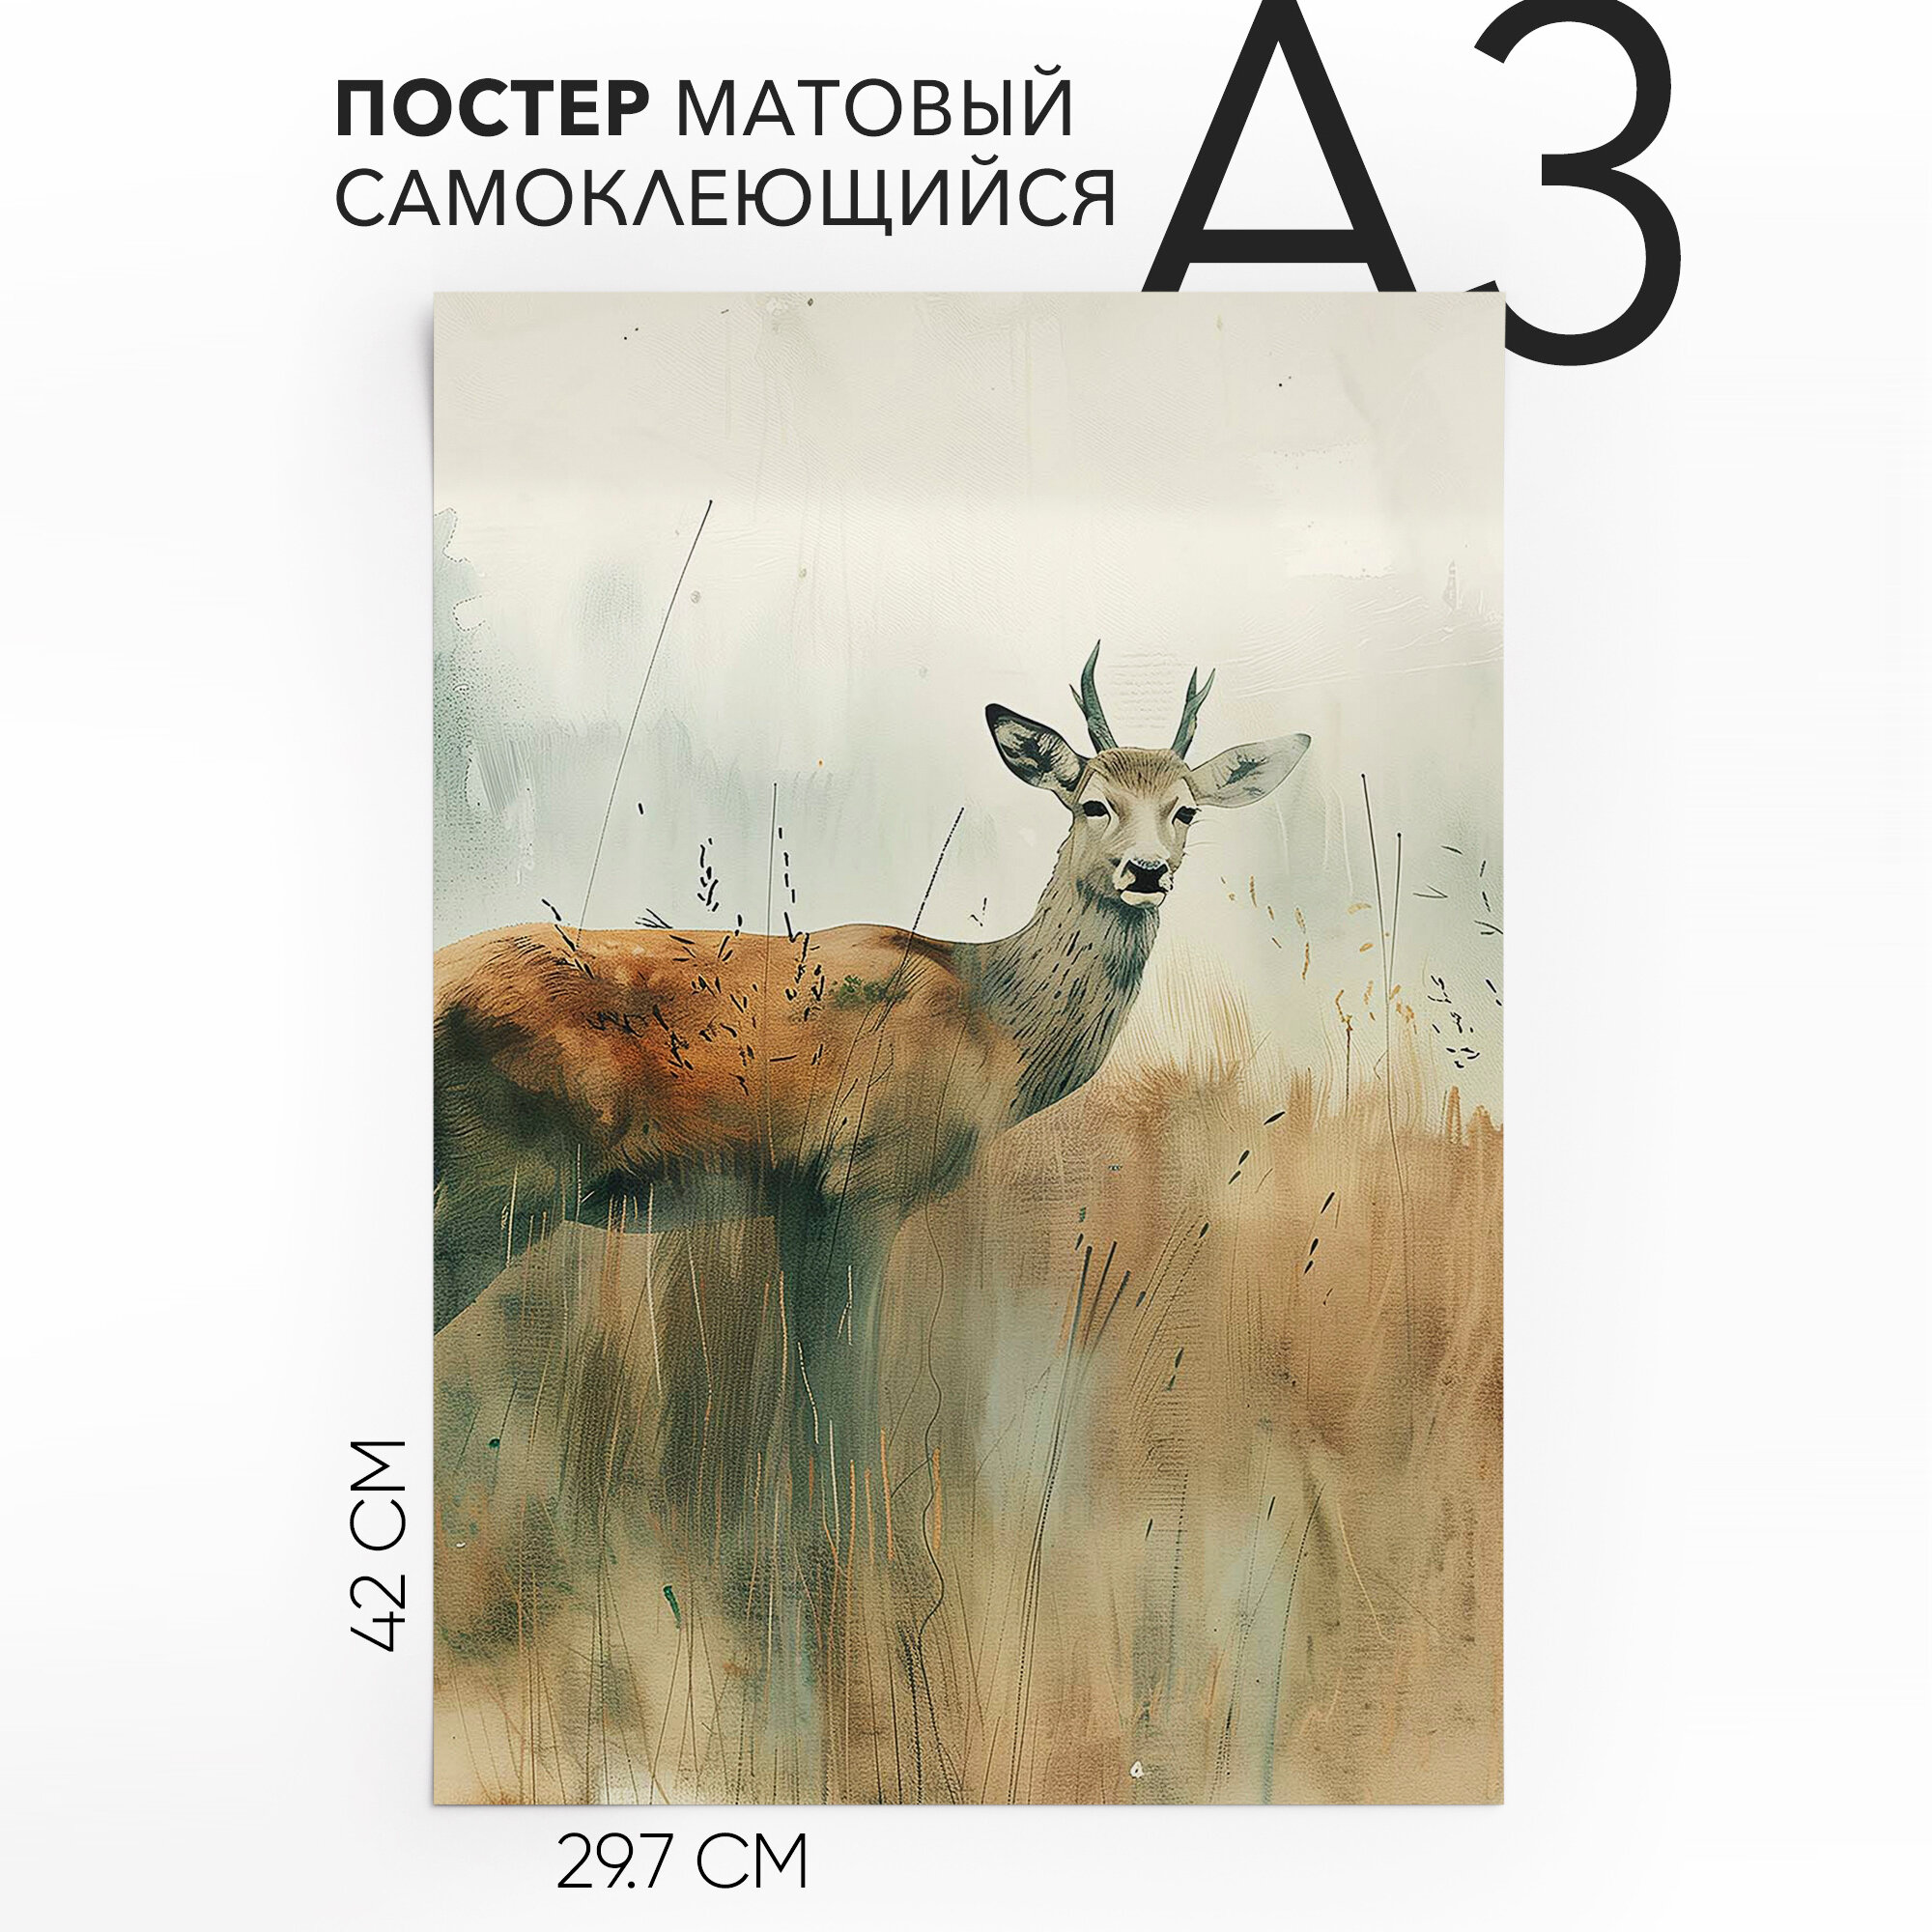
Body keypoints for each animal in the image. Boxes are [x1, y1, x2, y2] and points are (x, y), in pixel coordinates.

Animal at [433, 647, 1309, 1469]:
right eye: (1093, 801)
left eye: (1185, 810)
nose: (1147, 871)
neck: (993, 1024)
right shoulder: (861, 1181)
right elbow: (843, 1410)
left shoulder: (797, 1199)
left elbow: (812, 1410)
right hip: (506, 1177)